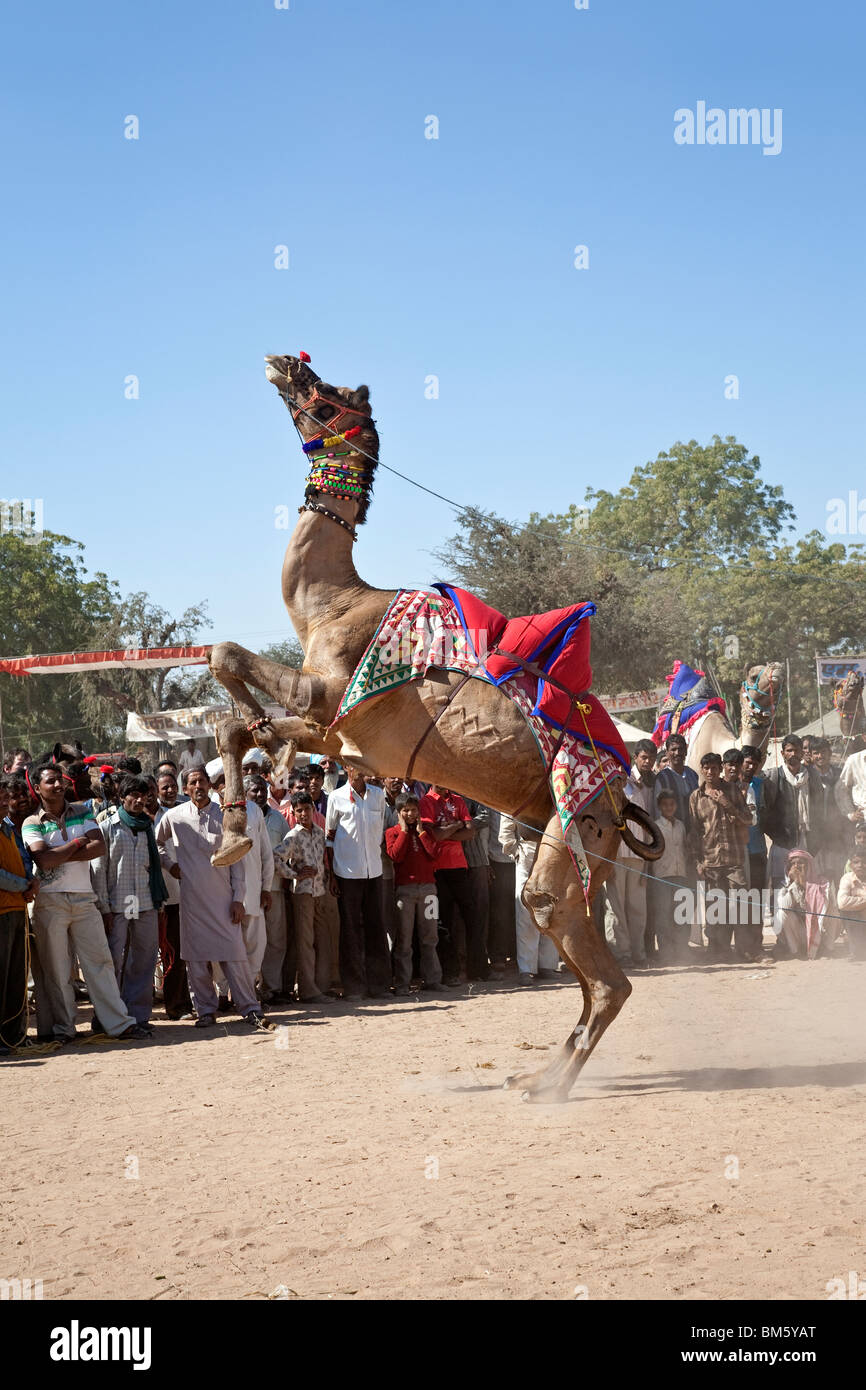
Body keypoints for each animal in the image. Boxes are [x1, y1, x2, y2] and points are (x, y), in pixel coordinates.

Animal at [208, 352, 662, 1102]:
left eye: (327, 396)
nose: (280, 361)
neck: (331, 603)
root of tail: (626, 798)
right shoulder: (338, 735)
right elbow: (239, 721)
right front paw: (238, 824)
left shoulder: (330, 696)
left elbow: (225, 657)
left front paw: (244, 799)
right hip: (575, 841)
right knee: (578, 952)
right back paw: (538, 1075)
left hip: (581, 821)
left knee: (585, 952)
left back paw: (550, 1086)